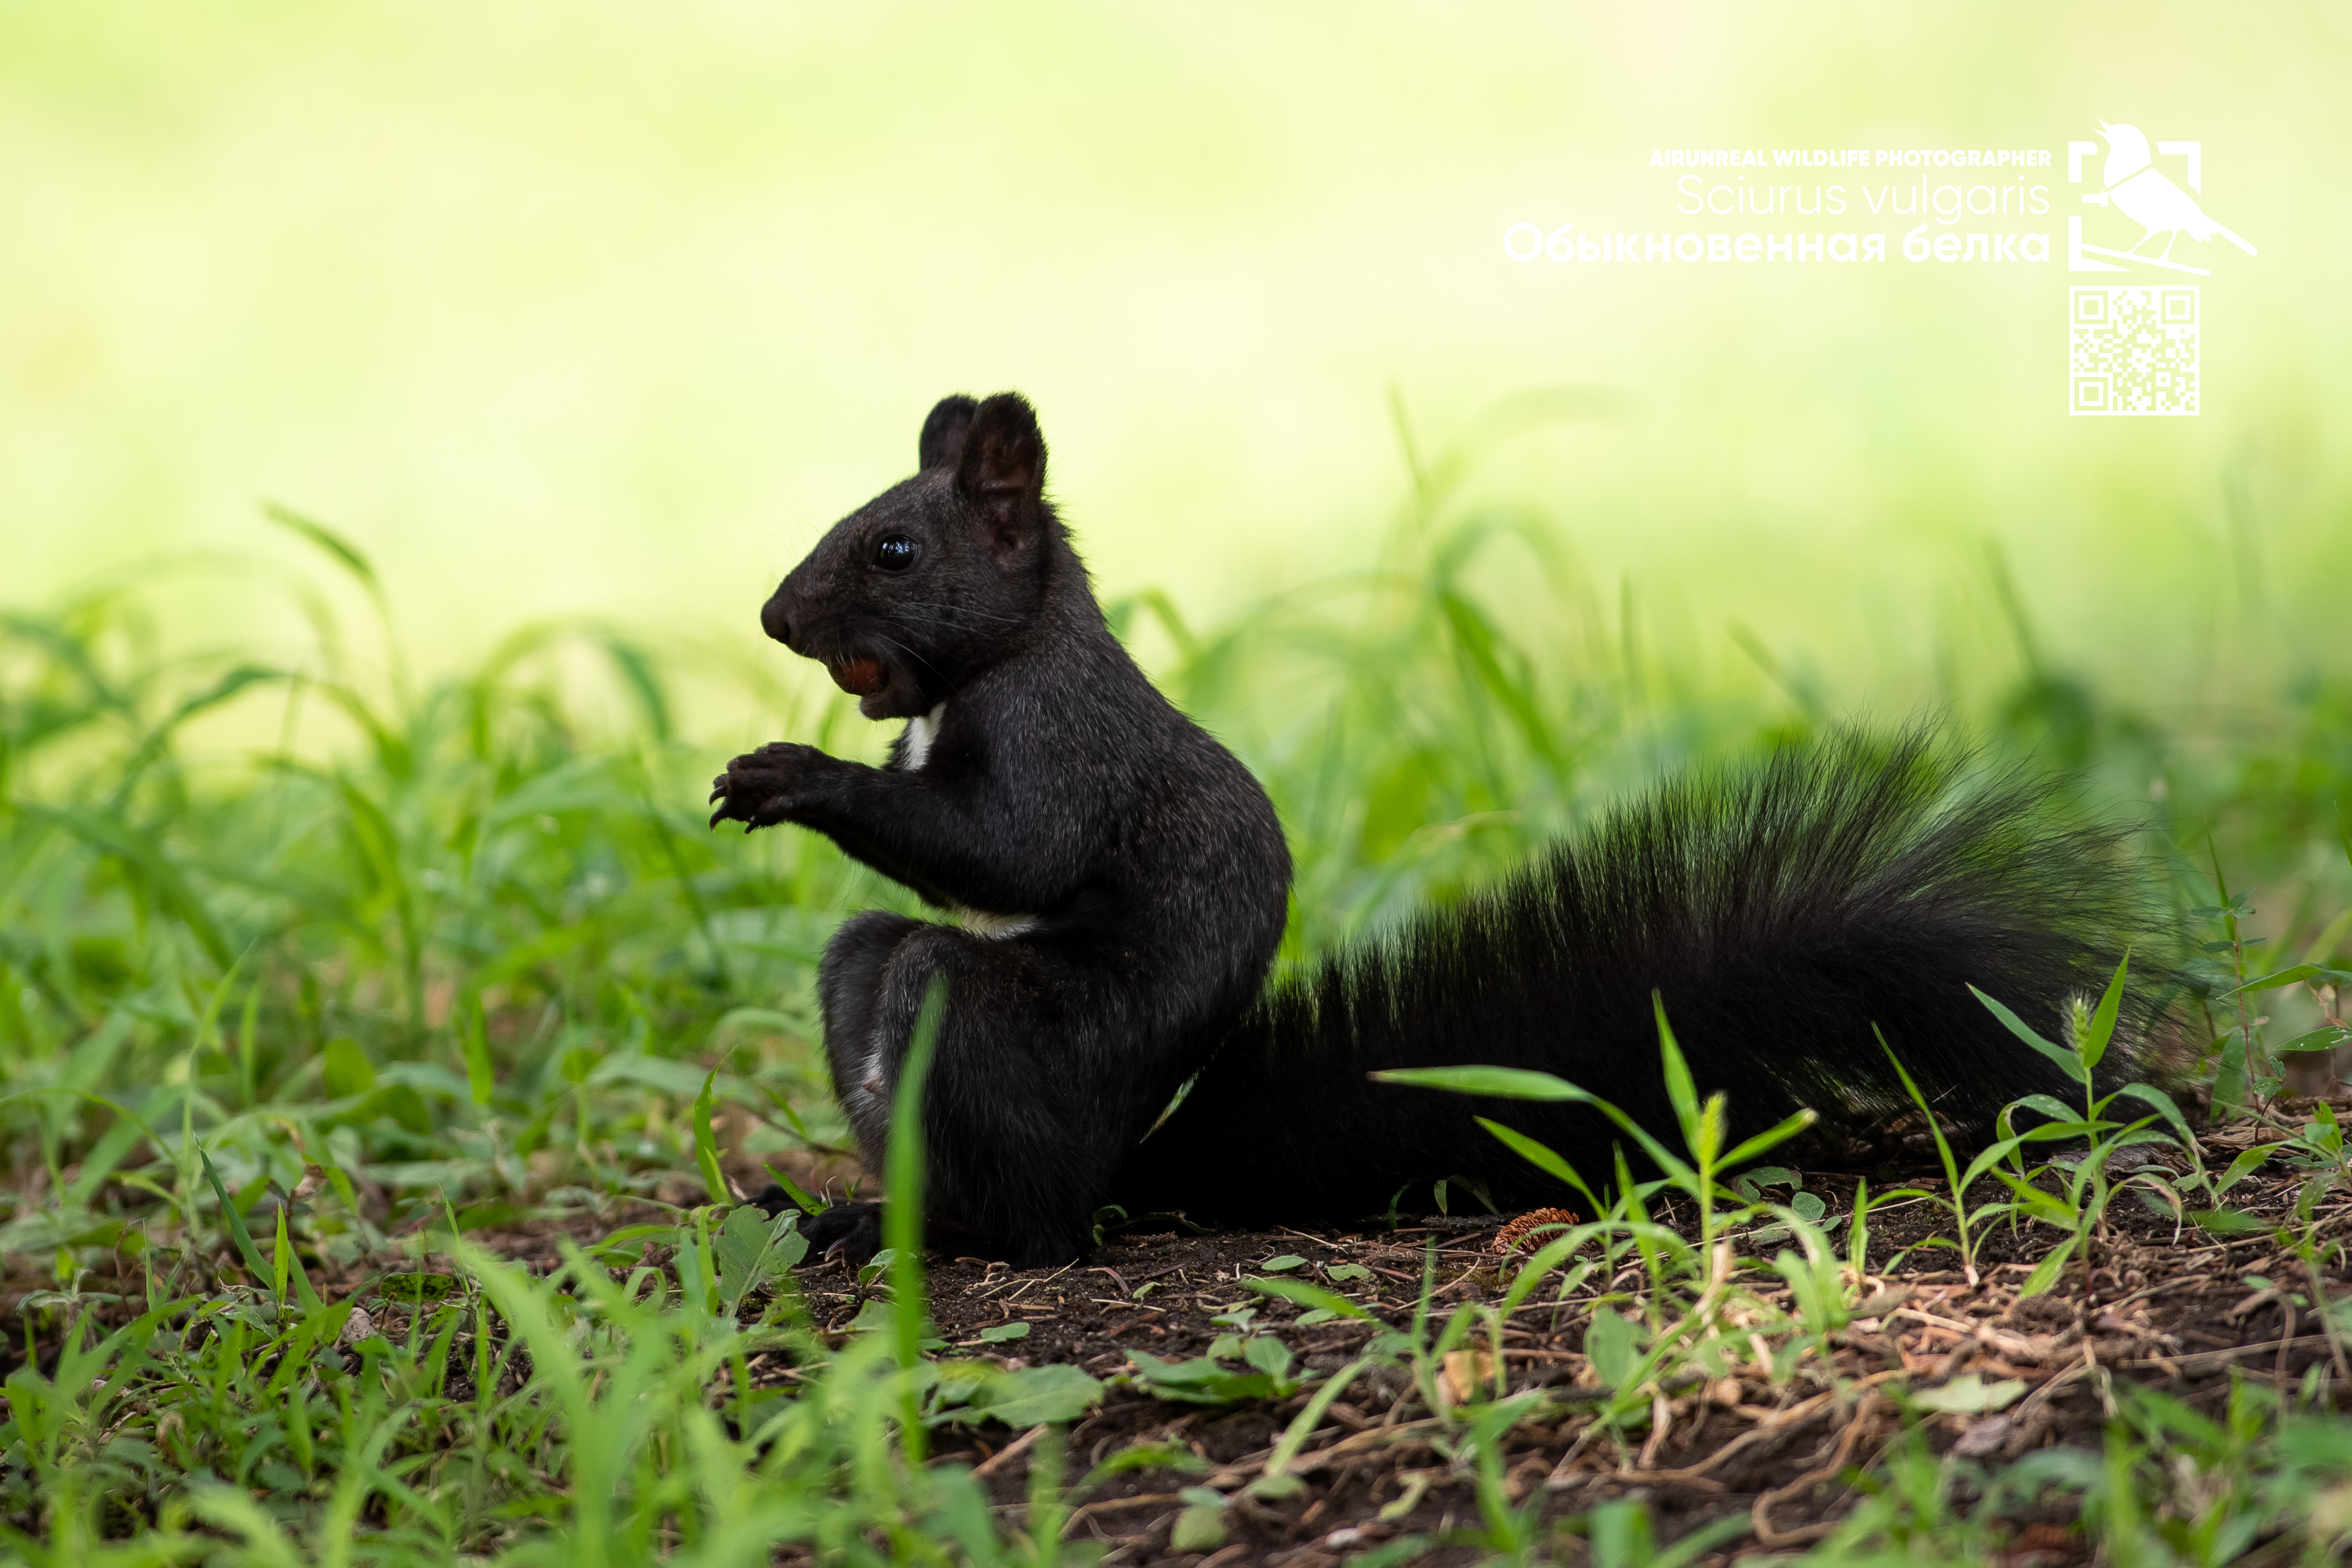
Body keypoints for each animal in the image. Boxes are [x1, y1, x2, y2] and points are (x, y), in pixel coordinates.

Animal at [715, 395, 2164, 1279]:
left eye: (894, 550)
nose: (778, 619)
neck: (988, 665)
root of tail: (1118, 1165)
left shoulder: (1061, 738)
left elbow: (1011, 852)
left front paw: (793, 779)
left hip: (1018, 1045)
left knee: (1004, 1158)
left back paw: (953, 1239)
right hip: (892, 1001)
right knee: (871, 966)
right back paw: (853, 1216)